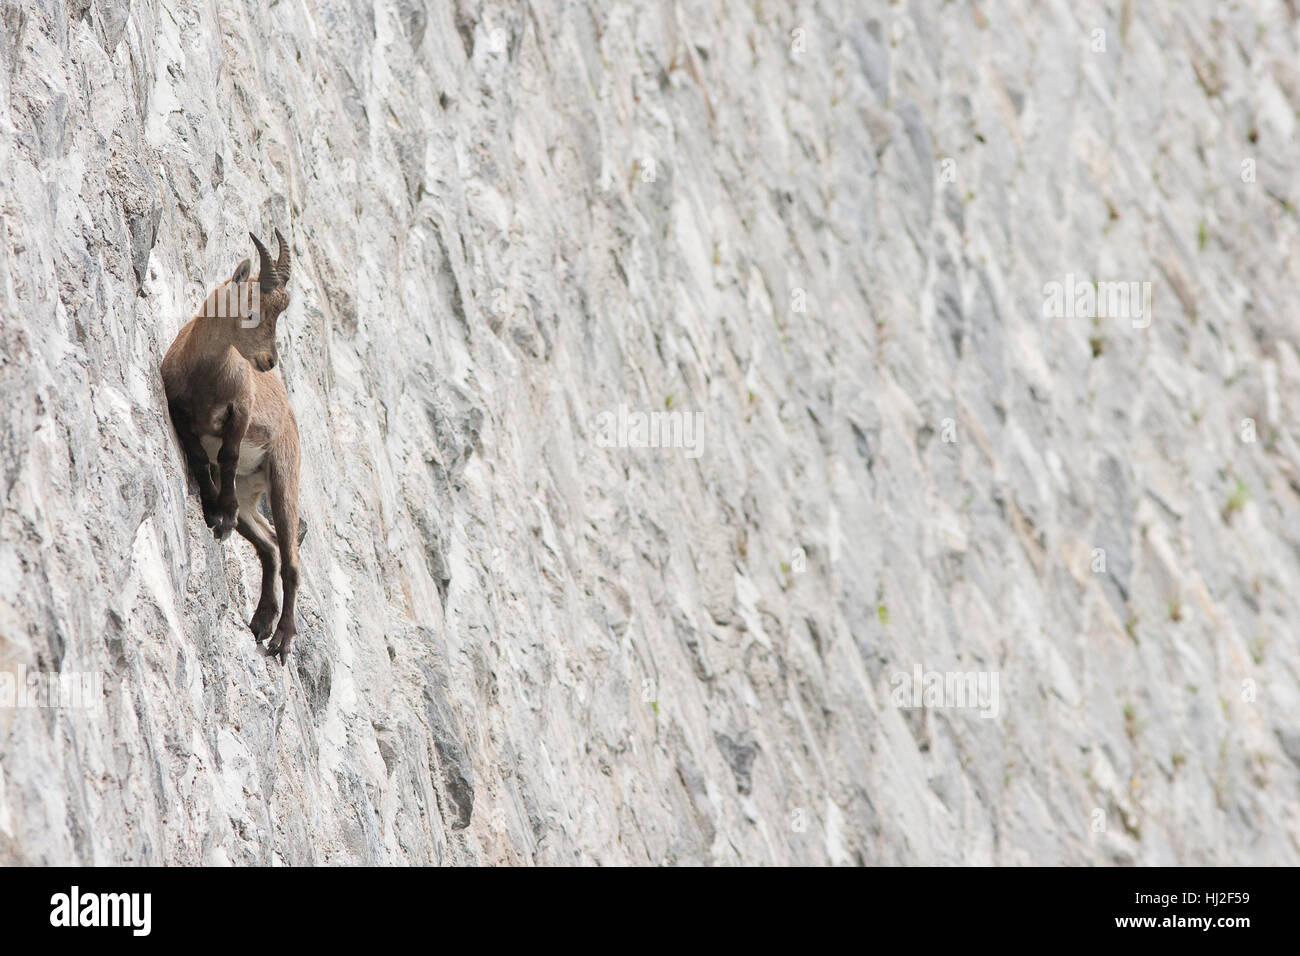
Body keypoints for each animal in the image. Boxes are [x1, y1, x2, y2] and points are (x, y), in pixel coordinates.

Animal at [161, 230, 301, 663]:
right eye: (253, 309)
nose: (269, 361)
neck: (207, 375)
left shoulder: (240, 410)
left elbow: (227, 453)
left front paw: (220, 515)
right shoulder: (179, 410)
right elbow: (199, 456)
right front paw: (213, 512)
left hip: (284, 477)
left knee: (291, 559)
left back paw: (282, 639)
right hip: (248, 494)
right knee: (269, 545)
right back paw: (261, 621)